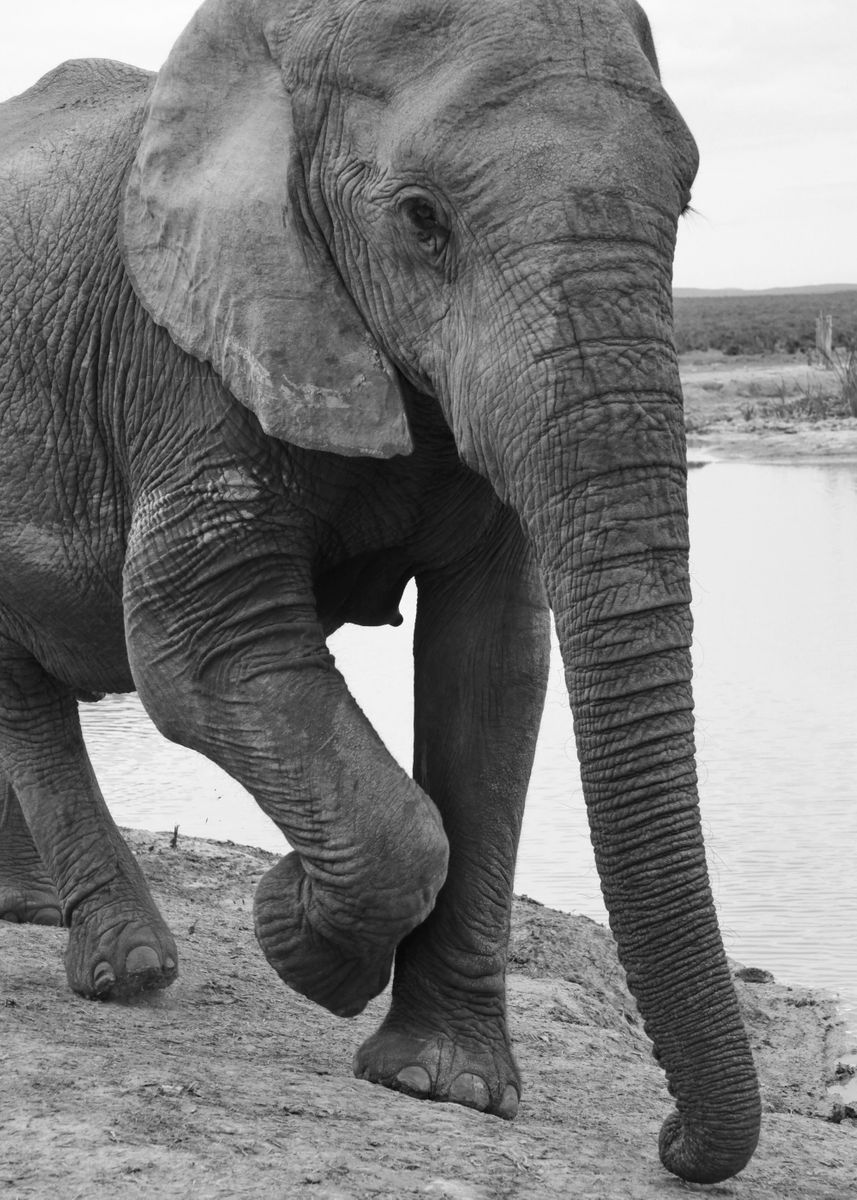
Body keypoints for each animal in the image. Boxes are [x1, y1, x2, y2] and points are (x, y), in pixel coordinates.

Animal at [0, 0, 761, 1184]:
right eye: (421, 219)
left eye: (679, 201)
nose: (674, 1142)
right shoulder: (186, 349)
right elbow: (195, 644)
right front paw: (299, 939)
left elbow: (491, 670)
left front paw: (439, 1084)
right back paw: (130, 974)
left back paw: (47, 922)